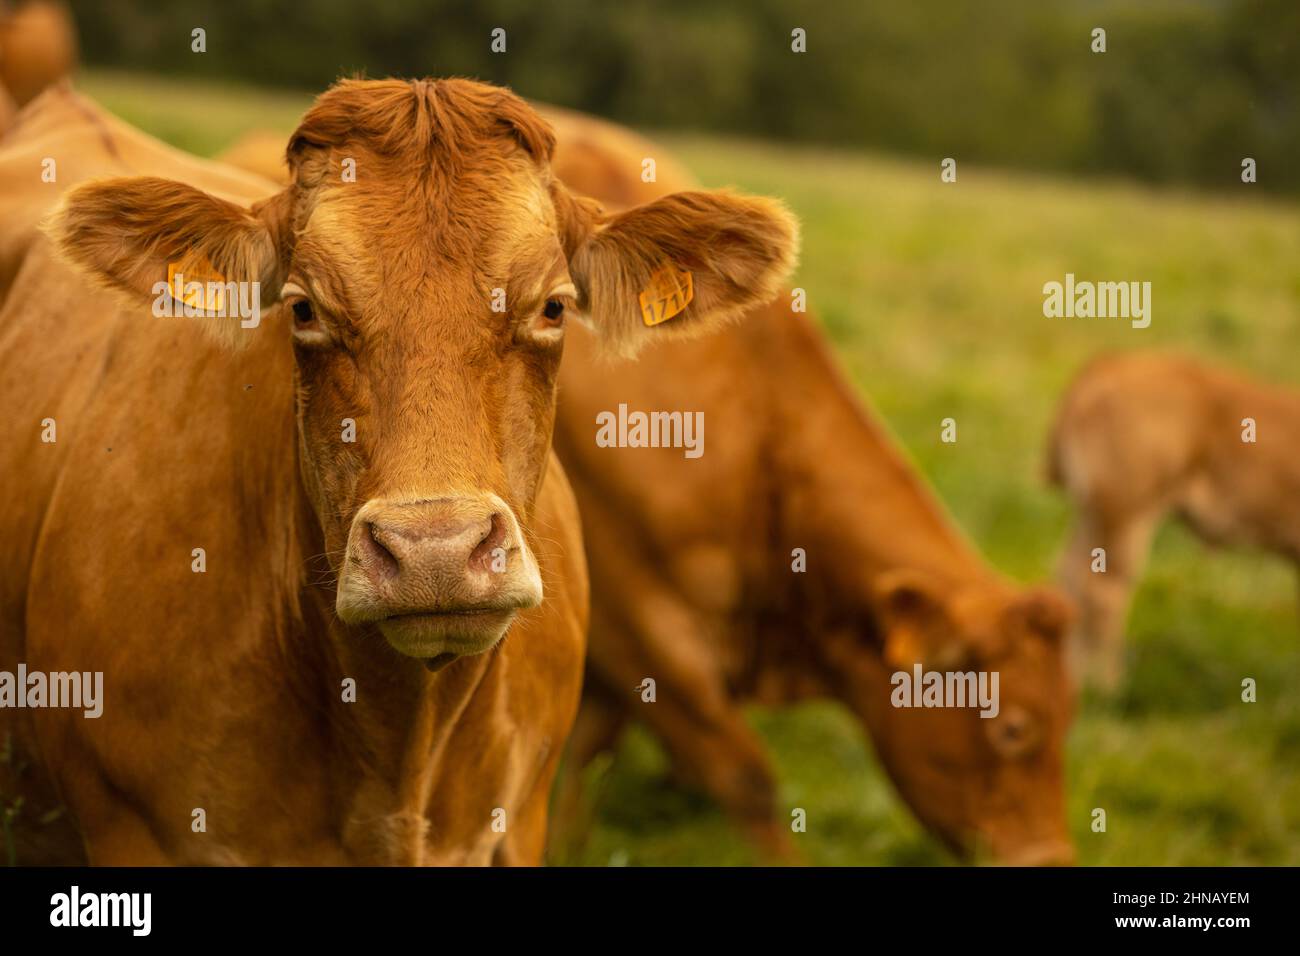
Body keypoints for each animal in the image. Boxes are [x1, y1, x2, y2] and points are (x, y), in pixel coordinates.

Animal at [1050, 351, 1300, 690]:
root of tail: (1108, 363)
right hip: (1128, 512)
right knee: (1102, 591)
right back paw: (1107, 685)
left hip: (1093, 515)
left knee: (1071, 578)